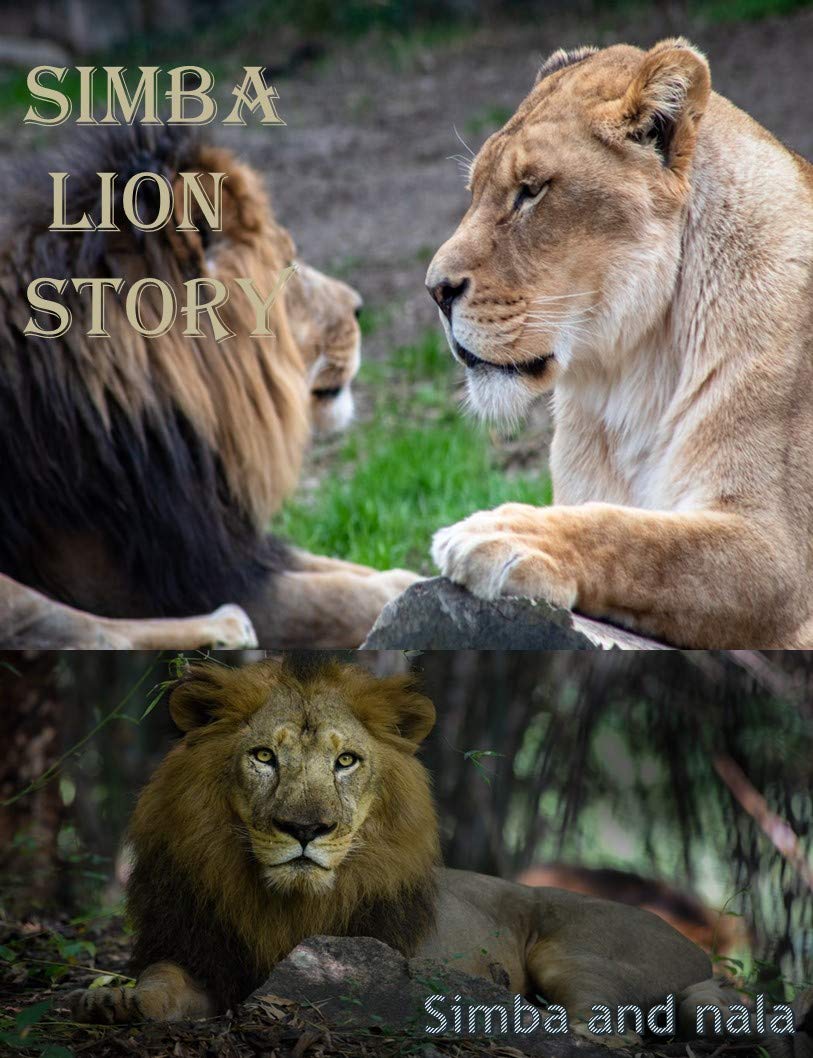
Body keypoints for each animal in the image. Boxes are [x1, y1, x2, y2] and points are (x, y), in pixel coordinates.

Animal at [0, 126, 416, 649]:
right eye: (288, 262)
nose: (359, 307)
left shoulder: (225, 542)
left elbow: (348, 569)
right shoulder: (147, 577)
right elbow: (338, 600)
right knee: (80, 633)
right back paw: (223, 629)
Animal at [69, 657, 746, 1040]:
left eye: (346, 761)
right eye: (263, 756)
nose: (305, 829)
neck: (280, 904)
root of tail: (699, 949)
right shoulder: (197, 950)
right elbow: (159, 980)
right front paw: (115, 1000)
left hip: (573, 952)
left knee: (604, 1031)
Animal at [425, 38, 813, 648]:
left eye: (531, 191)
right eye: (474, 193)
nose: (435, 290)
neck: (634, 375)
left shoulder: (782, 558)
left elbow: (640, 539)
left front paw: (505, 532)